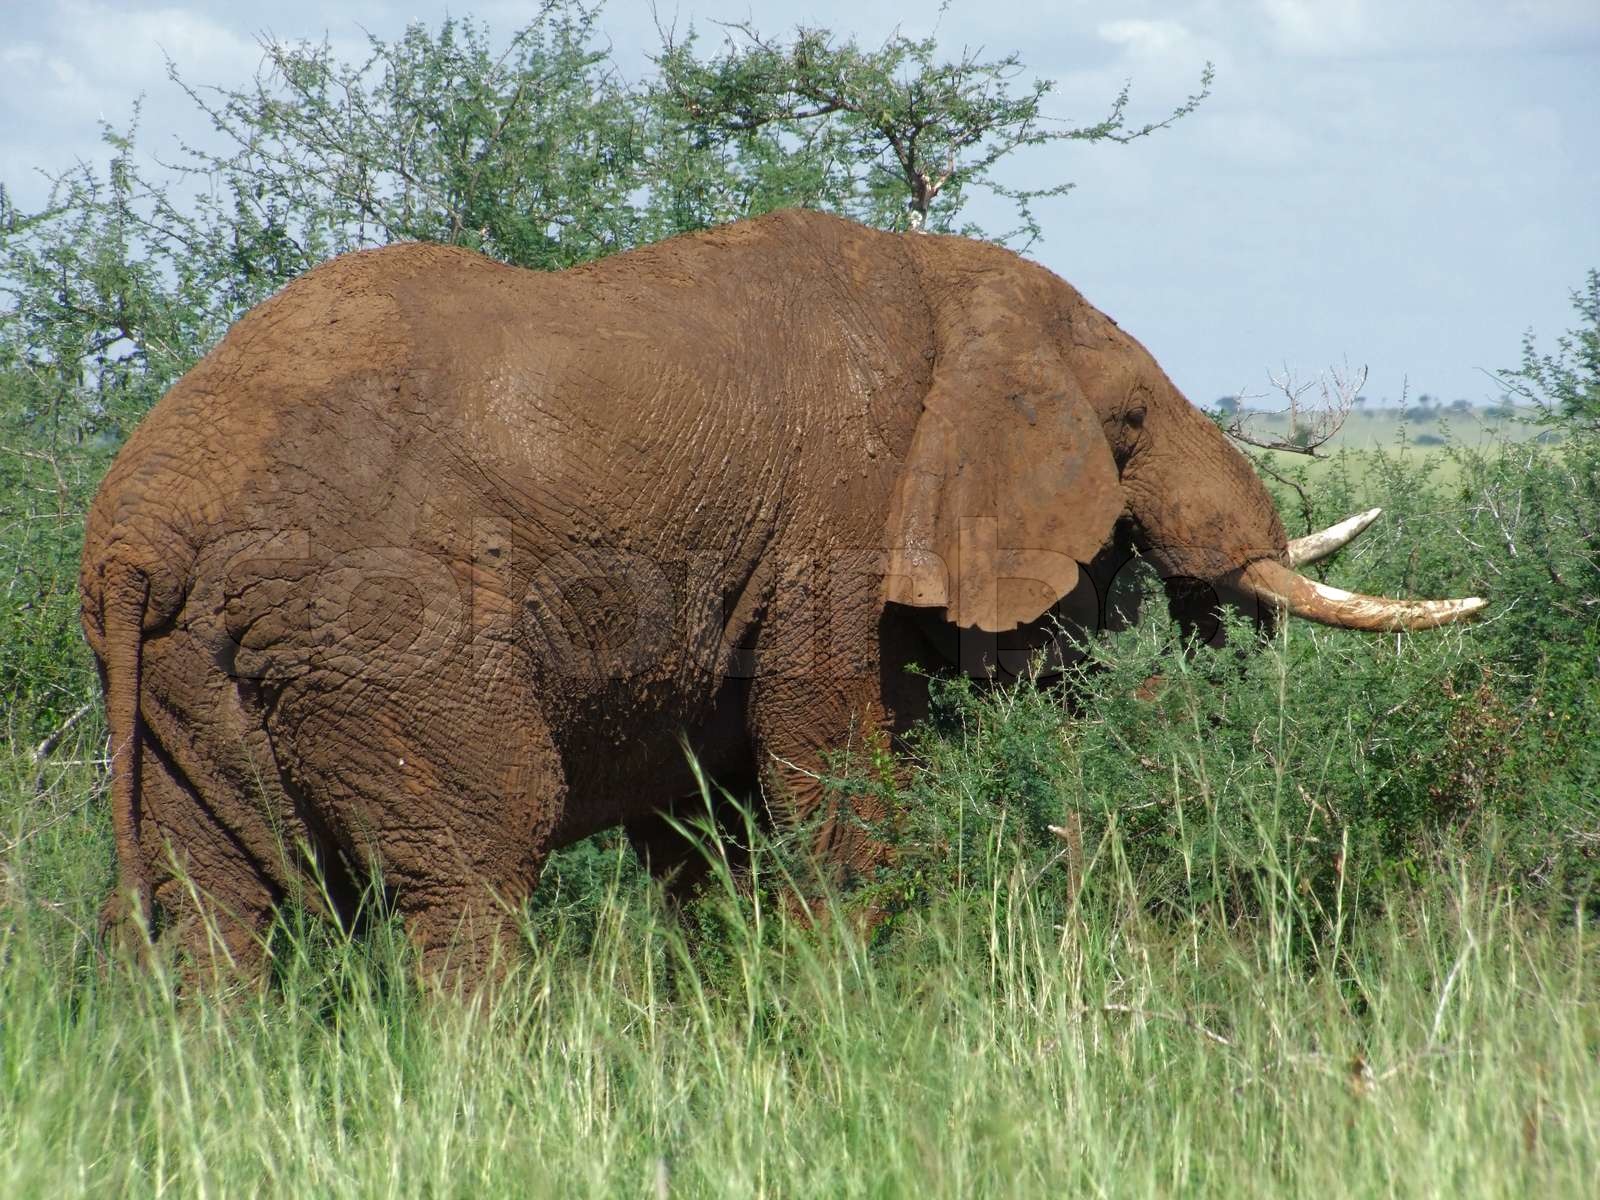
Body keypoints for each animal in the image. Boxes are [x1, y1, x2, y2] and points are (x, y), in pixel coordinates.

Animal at [79, 208, 1483, 983]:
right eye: (1130, 422)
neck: (938, 278)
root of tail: (139, 529)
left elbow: (708, 825)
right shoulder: (840, 521)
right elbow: (832, 772)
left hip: (193, 672)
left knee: (217, 912)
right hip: (375, 627)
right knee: (474, 865)